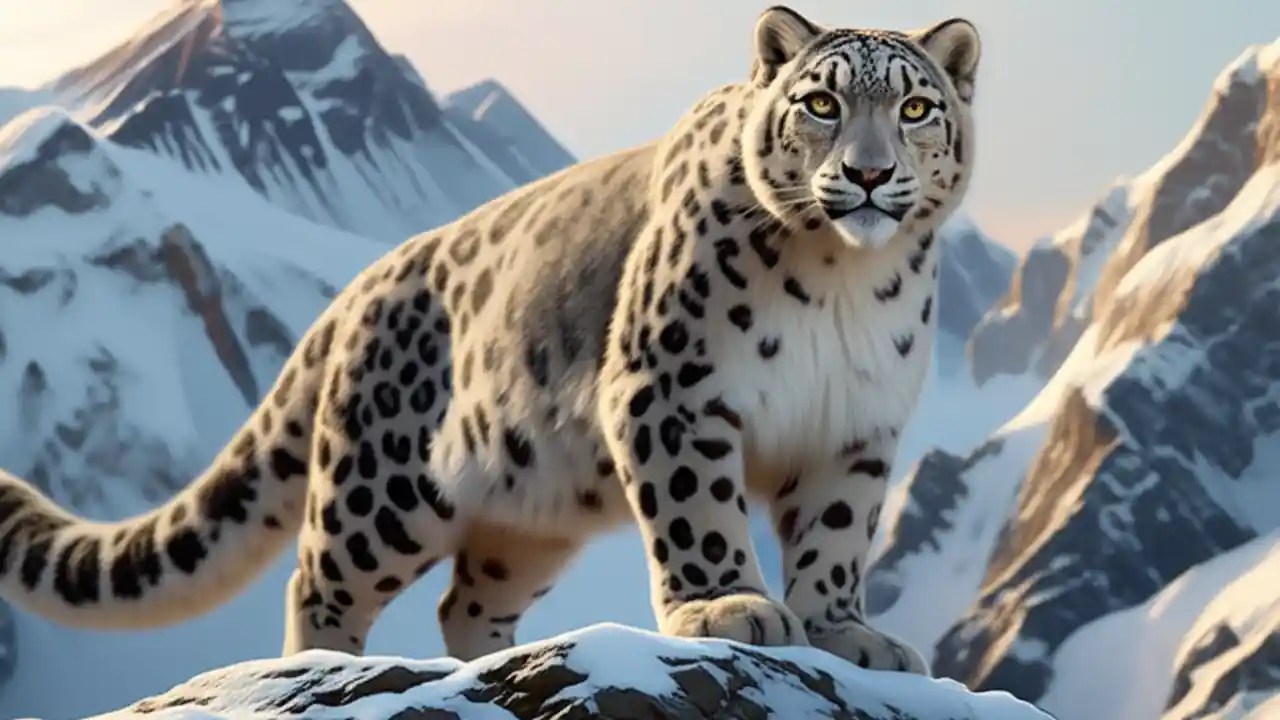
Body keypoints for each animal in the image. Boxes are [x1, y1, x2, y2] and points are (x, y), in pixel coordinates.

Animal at [0, 6, 979, 675]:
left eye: (916, 107)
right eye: (820, 101)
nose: (868, 174)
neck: (842, 284)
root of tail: (355, 292)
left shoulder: (855, 425)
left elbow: (838, 534)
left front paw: (845, 632)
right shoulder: (672, 388)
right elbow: (698, 507)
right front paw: (728, 608)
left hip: (529, 512)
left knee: (466, 598)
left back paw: (492, 661)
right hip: (384, 488)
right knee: (317, 576)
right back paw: (330, 665)